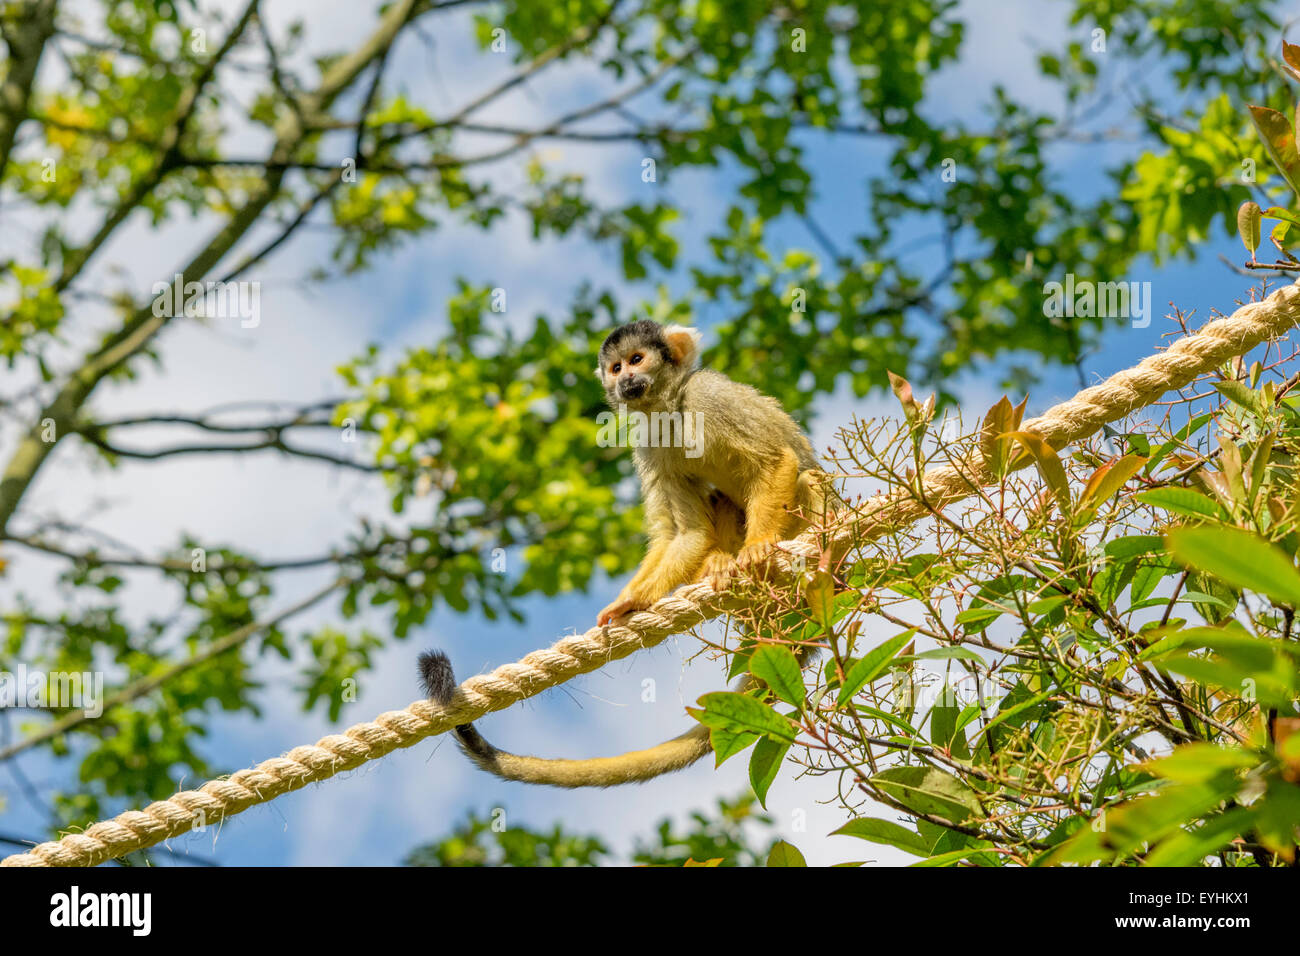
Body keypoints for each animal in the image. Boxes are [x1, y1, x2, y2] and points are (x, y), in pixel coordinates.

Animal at [419, 319, 836, 788]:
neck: (672, 407)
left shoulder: (709, 395)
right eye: (616, 367)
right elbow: (683, 532)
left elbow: (776, 460)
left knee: (807, 479)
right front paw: (630, 602)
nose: (625, 379)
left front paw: (759, 548)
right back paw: (720, 567)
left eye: (637, 359)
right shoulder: (649, 441)